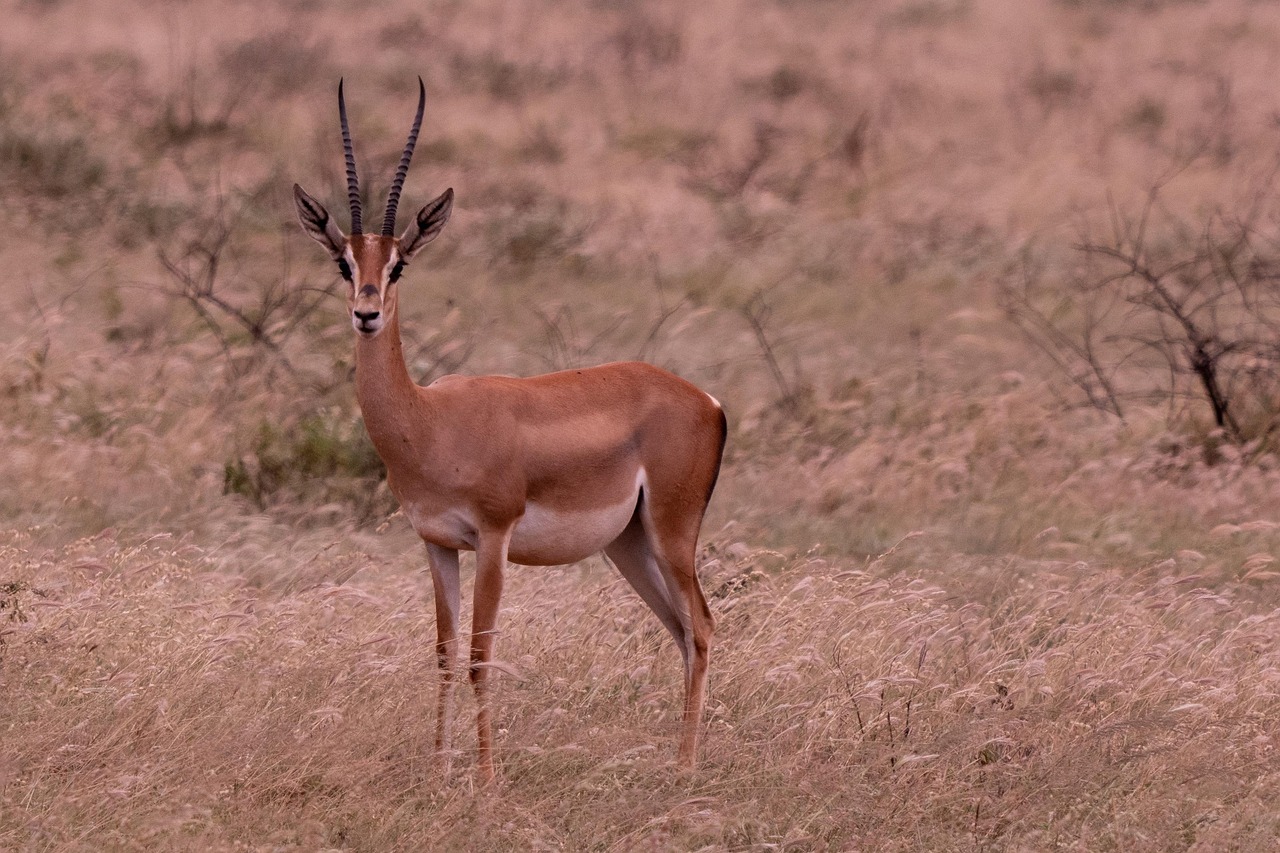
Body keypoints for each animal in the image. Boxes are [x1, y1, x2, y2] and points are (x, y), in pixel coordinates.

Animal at [292, 79, 727, 782]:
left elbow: (480, 657)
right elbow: (444, 655)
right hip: (629, 544)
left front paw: (487, 779)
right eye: (342, 262)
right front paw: (439, 770)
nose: (365, 313)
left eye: (399, 266)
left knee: (704, 626)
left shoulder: (493, 540)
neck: (430, 422)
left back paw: (685, 770)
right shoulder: (437, 543)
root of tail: (707, 401)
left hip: (671, 535)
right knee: (682, 631)